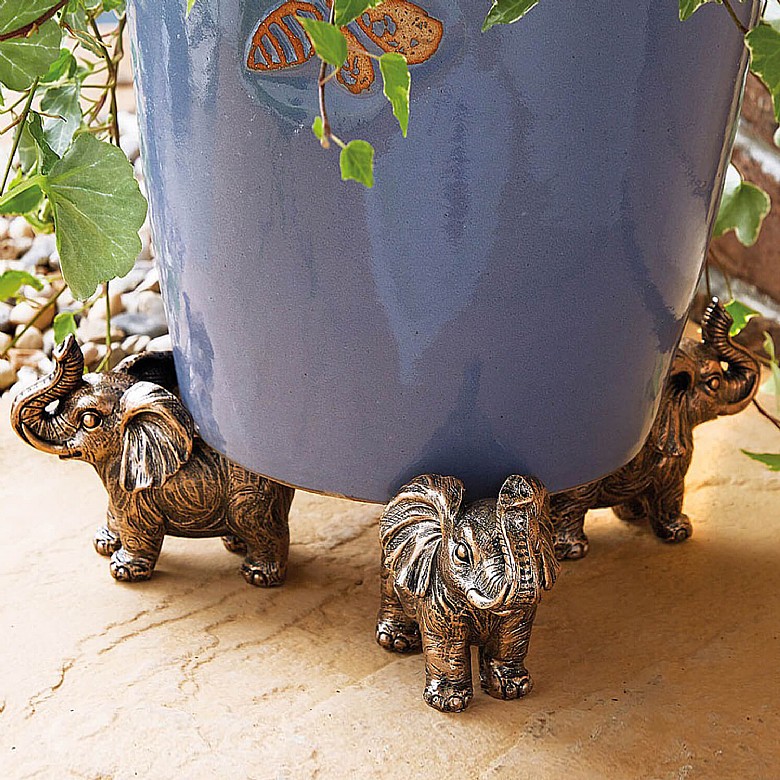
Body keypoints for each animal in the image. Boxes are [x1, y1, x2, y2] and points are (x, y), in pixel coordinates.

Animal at [10, 334, 294, 586]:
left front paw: (122, 570)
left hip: (251, 500)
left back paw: (258, 576)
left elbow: (138, 527)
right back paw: (235, 544)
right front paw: (103, 543)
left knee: (262, 528)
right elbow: (114, 511)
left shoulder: (137, 495)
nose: (62, 344)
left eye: (90, 420)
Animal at [376, 473, 559, 713]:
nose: (515, 486)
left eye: (537, 547)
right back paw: (397, 642)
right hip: (390, 568)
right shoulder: (439, 601)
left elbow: (512, 635)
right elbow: (446, 643)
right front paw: (448, 703)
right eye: (462, 552)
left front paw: (514, 689)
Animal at [552, 297, 761, 561]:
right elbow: (670, 494)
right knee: (572, 507)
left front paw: (633, 515)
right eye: (714, 383)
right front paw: (680, 532)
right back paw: (573, 551)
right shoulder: (672, 464)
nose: (719, 305)